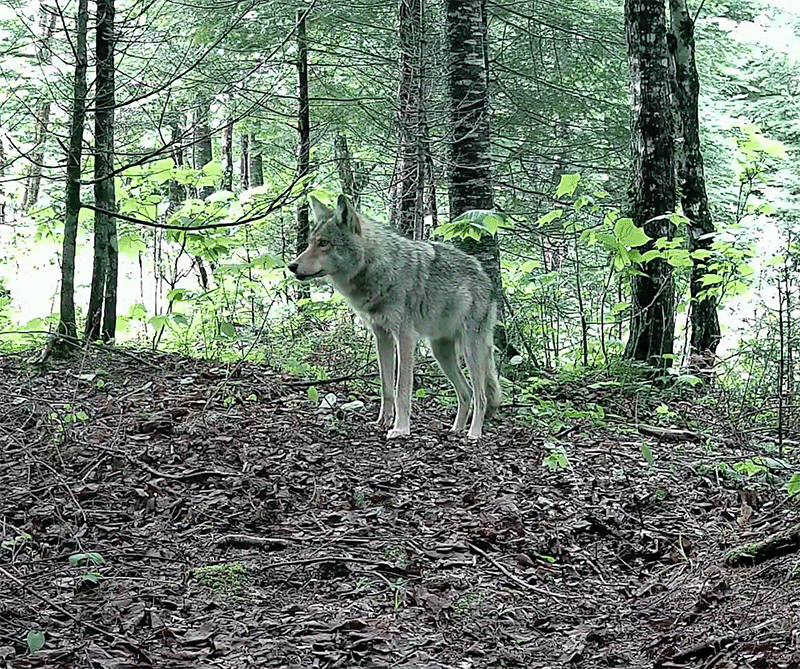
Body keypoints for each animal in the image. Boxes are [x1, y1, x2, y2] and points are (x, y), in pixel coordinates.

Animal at [288, 193, 501, 440]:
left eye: (323, 243)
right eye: (311, 242)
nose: (291, 266)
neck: (379, 268)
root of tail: (487, 278)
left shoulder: (405, 337)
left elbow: (402, 391)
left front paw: (400, 429)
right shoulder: (382, 337)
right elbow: (386, 387)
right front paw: (382, 422)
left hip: (469, 350)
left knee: (480, 396)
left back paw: (473, 434)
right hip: (441, 353)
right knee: (466, 393)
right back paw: (455, 430)